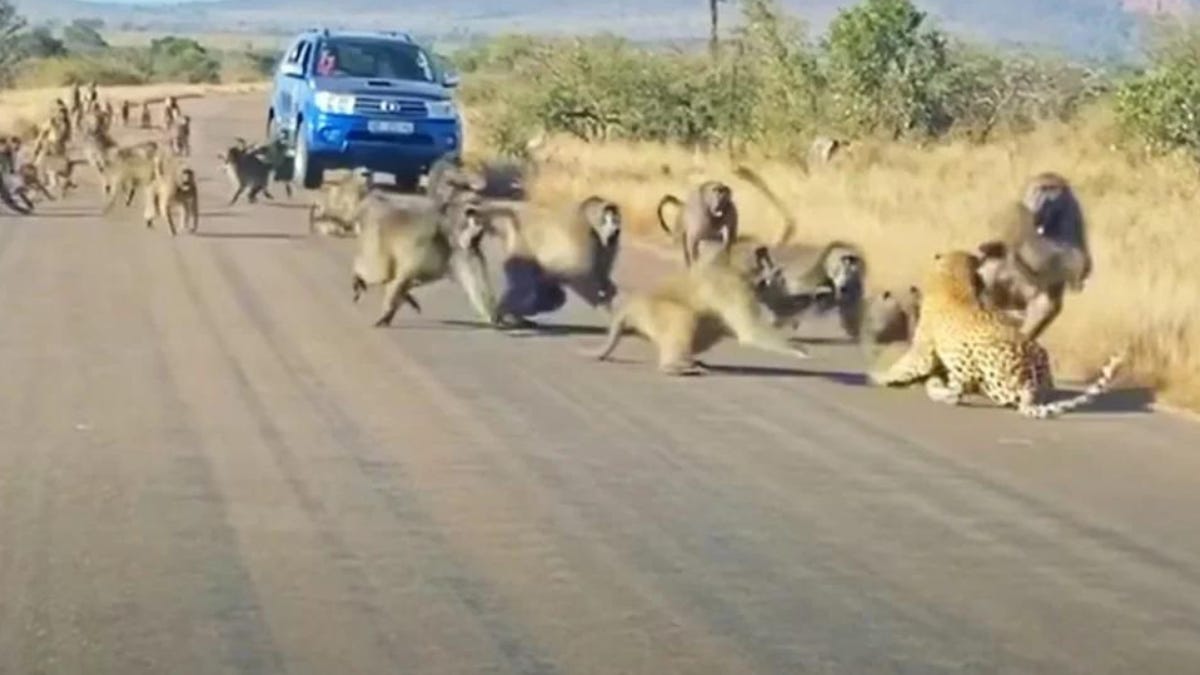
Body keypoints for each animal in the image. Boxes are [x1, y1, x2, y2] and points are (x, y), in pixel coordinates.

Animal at [868, 249, 1126, 419]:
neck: (956, 279)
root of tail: (1030, 386)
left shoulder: (922, 353)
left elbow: (903, 365)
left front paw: (877, 376)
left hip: (973, 358)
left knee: (957, 394)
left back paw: (936, 387)